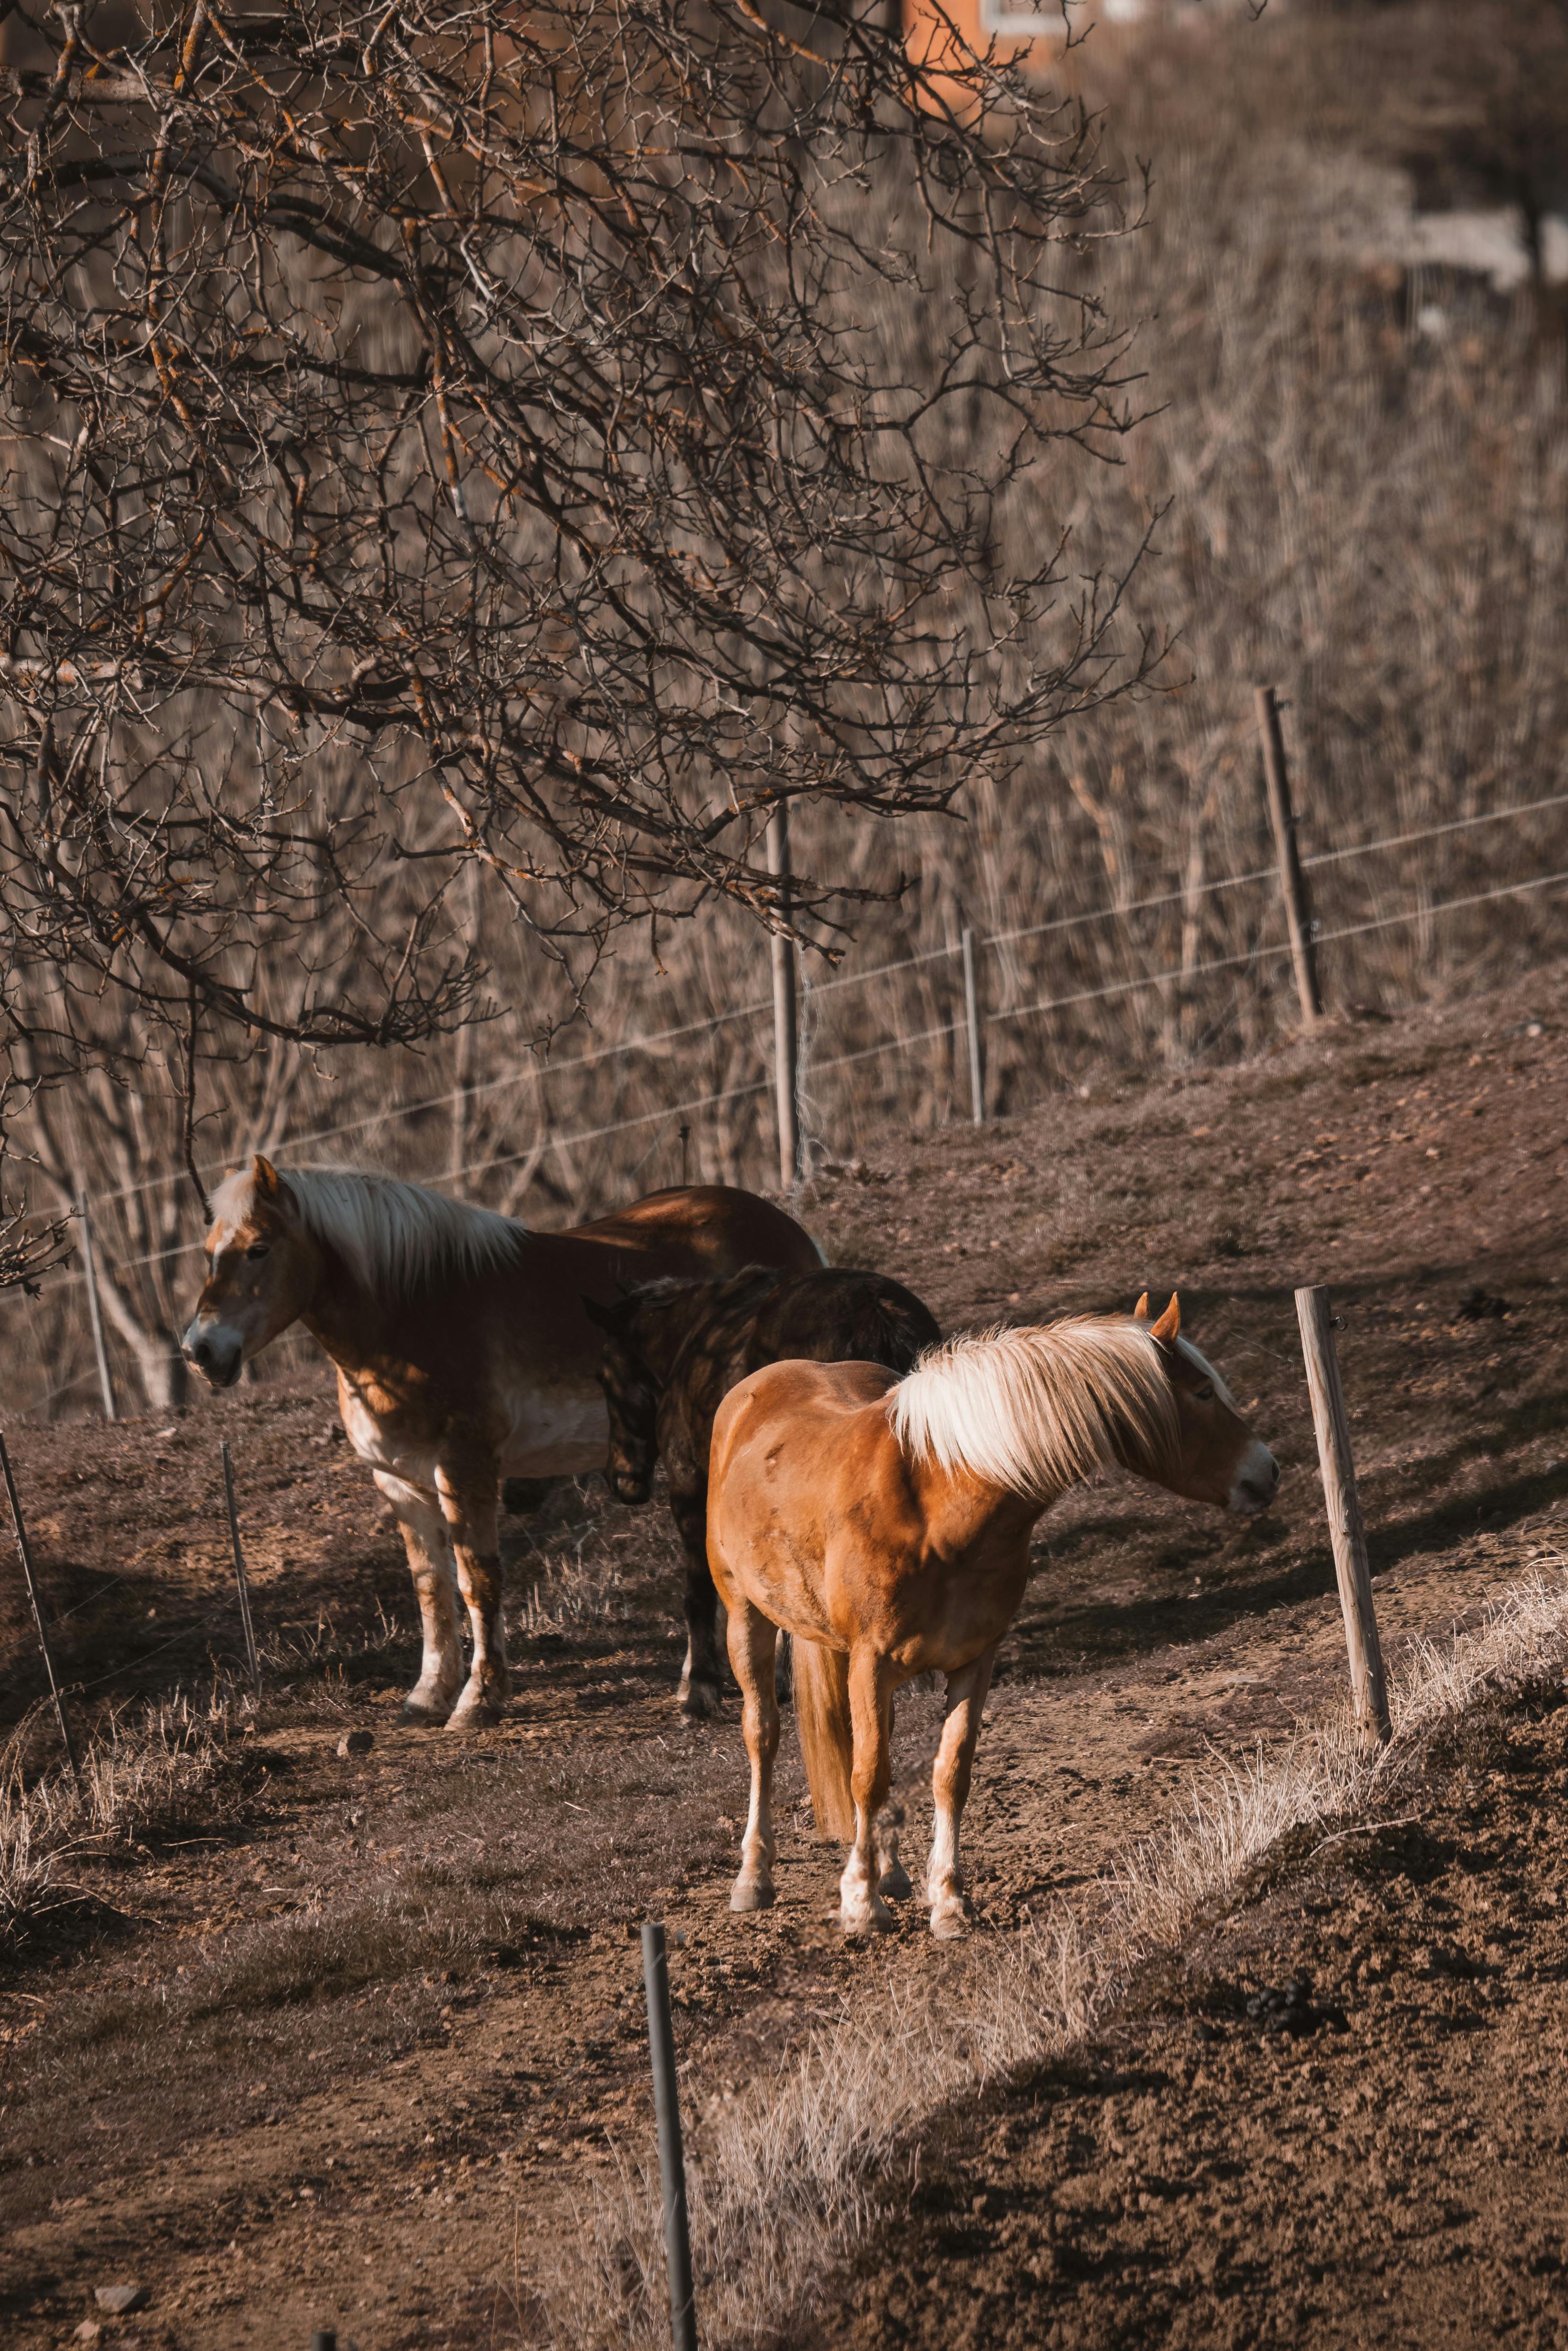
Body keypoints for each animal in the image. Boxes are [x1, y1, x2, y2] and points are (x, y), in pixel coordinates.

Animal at [181, 1159, 822, 1727]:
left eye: (259, 1248)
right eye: (208, 1252)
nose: (201, 1351)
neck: (411, 1313)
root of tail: (789, 1232)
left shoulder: (464, 1469)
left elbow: (477, 1581)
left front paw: (478, 1700)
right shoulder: (399, 1482)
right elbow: (431, 1587)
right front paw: (427, 1697)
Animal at [586, 1265, 941, 1718]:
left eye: (604, 1376)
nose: (621, 1478)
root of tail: (875, 1308)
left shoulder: (691, 1488)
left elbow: (700, 1591)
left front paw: (701, 1685)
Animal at [705, 1293, 1279, 1937]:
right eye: (1202, 1392)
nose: (1268, 1471)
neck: (938, 1503)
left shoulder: (972, 1660)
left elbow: (948, 1773)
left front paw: (948, 1900)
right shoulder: (871, 1661)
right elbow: (867, 1775)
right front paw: (860, 1902)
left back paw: (892, 1872)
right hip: (746, 1618)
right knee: (763, 1735)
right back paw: (755, 1877)